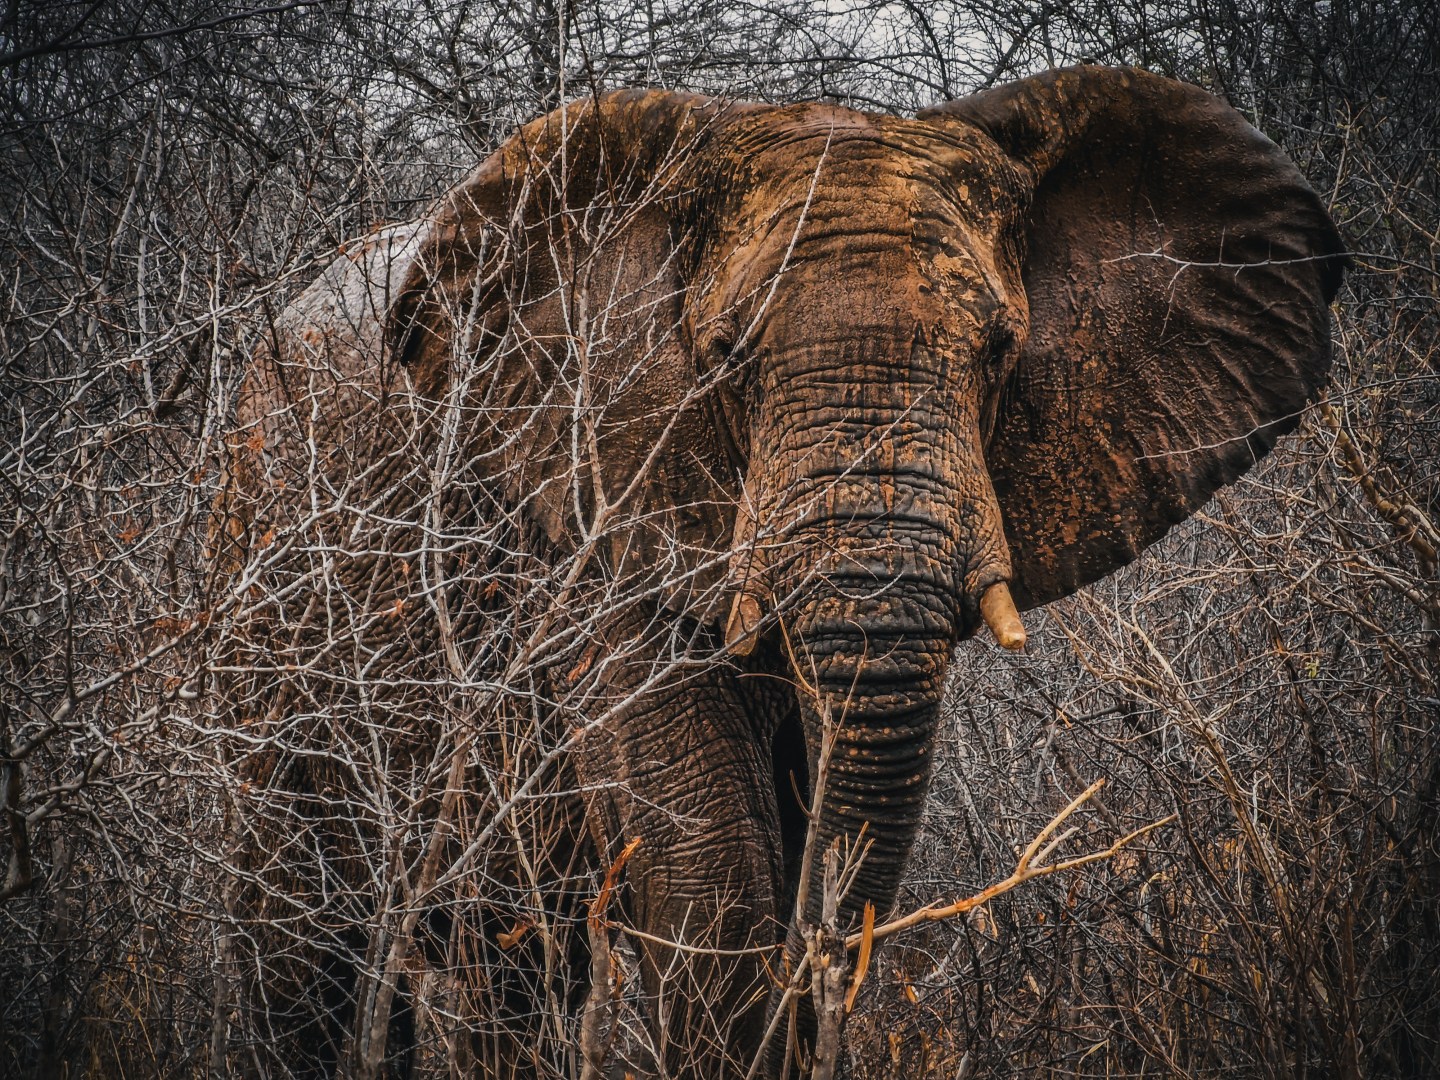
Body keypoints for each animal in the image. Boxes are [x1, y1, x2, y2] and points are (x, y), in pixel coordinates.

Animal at [213, 65, 1343, 1077]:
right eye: (725, 358)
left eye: (999, 350)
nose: (829, 964)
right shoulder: (593, 492)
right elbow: (704, 842)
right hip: (265, 570)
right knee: (304, 935)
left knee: (508, 969)